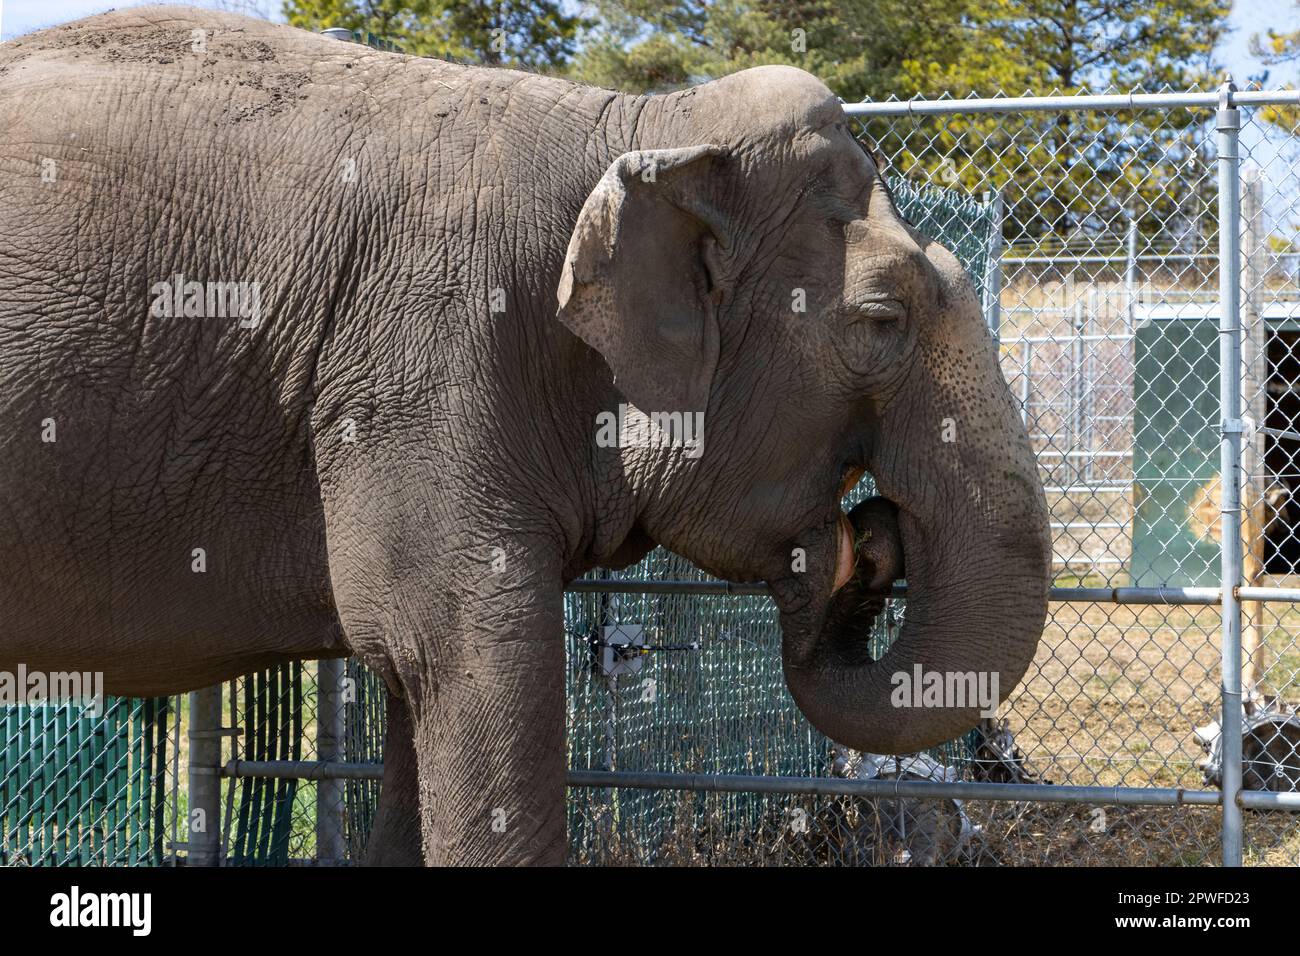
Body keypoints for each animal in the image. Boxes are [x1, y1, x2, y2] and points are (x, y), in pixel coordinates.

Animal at [0, 7, 1051, 865]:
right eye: (880, 320)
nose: (870, 535)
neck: (648, 126)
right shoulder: (432, 364)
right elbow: (470, 660)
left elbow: (417, 695)